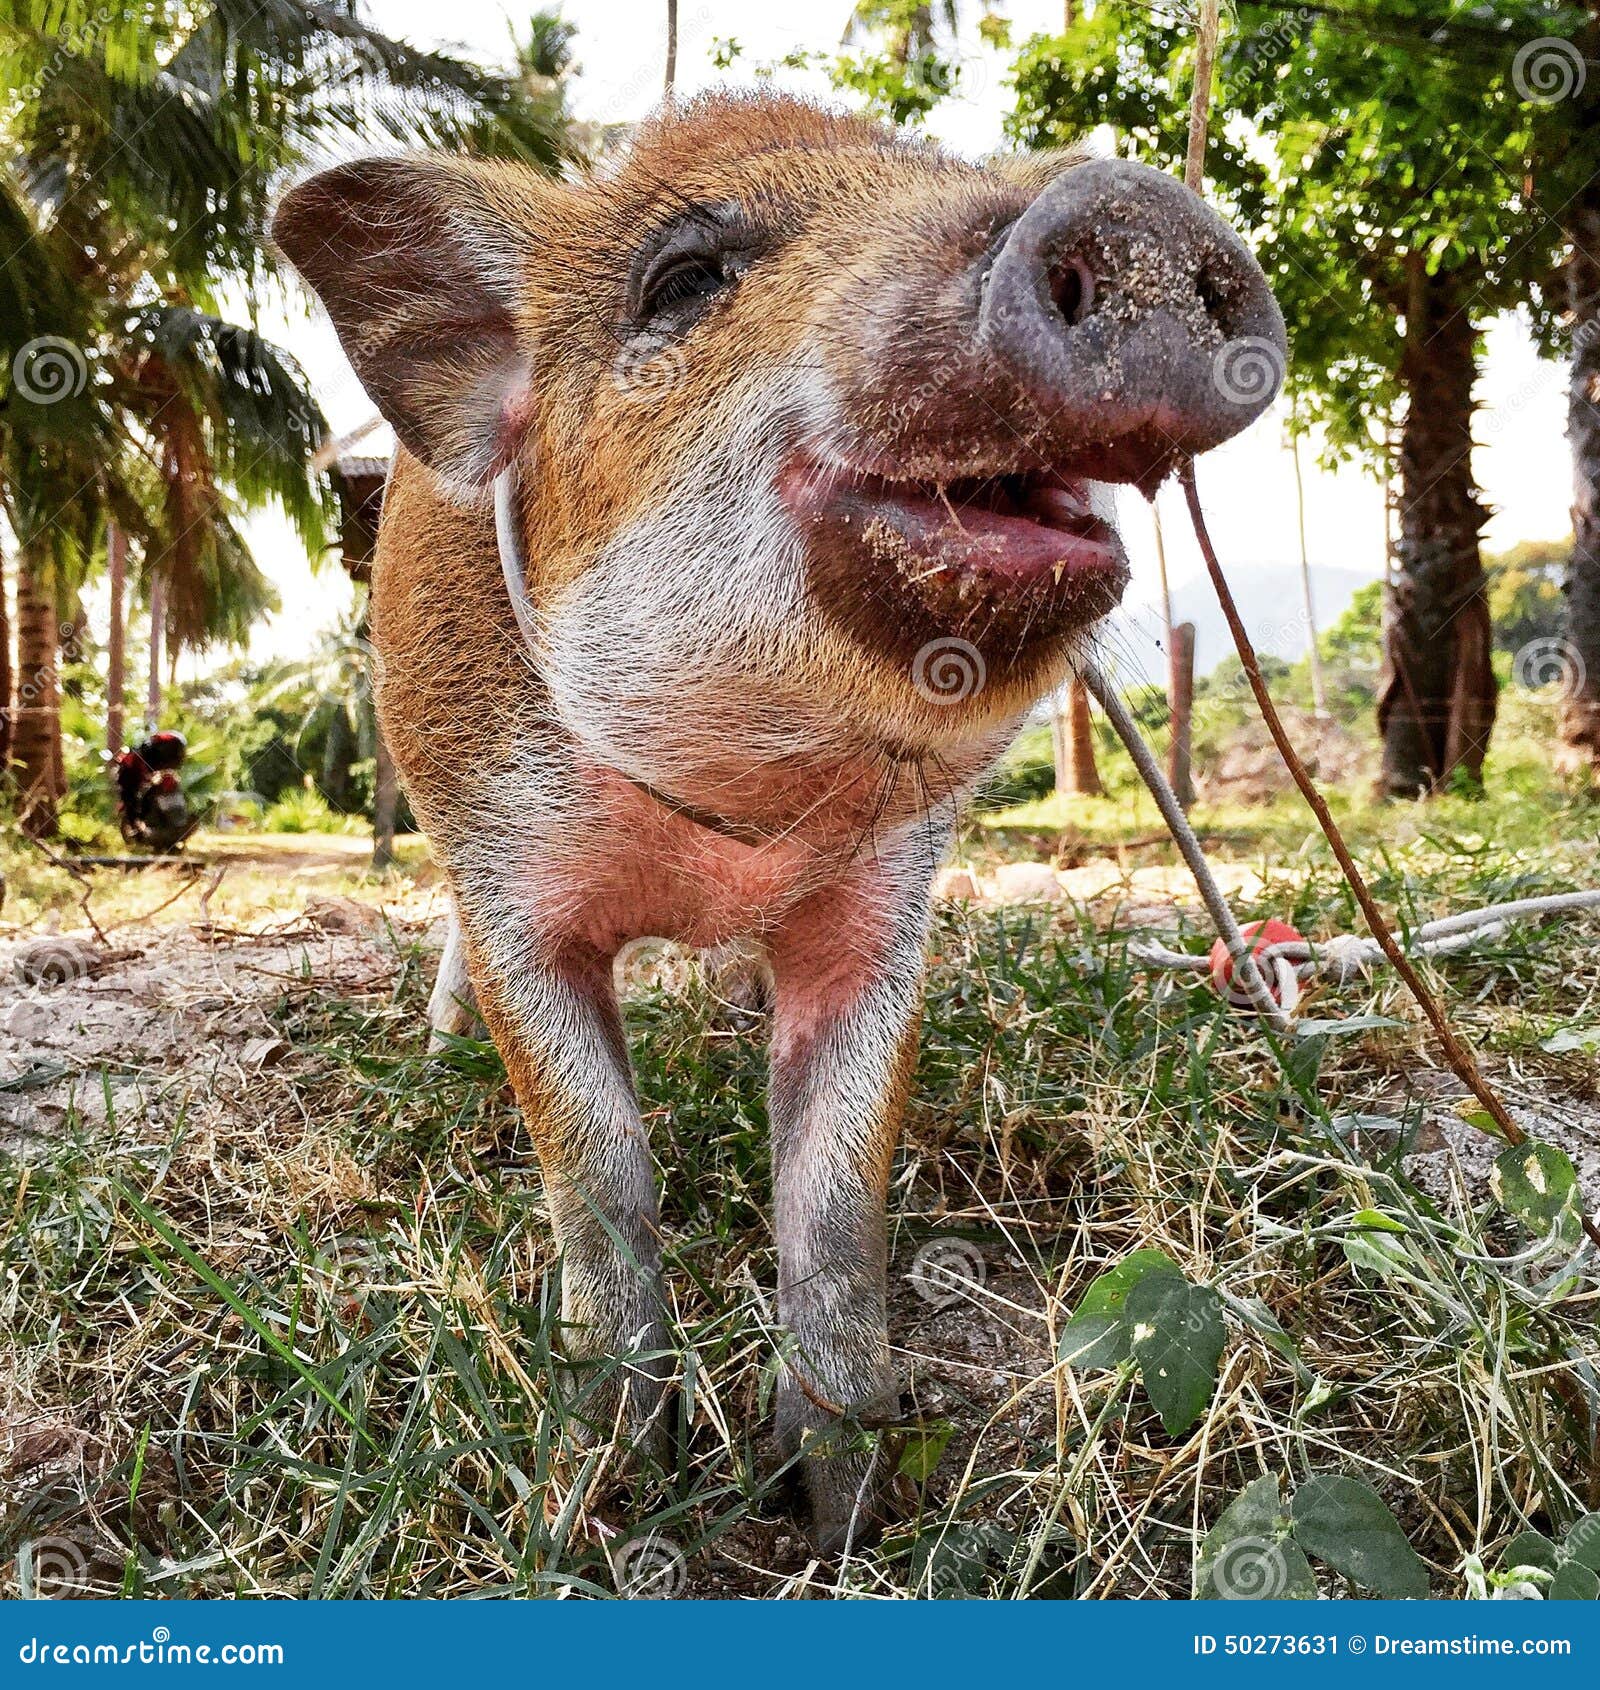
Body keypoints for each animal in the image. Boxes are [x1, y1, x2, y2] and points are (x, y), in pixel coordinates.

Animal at [272, 92, 1284, 1551]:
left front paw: (844, 1509)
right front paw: (599, 1487)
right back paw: (440, 1043)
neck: (729, 827)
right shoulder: (510, 877)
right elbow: (598, 1165)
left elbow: (840, 1190)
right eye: (685, 279)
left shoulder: (881, 916)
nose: (1135, 205)